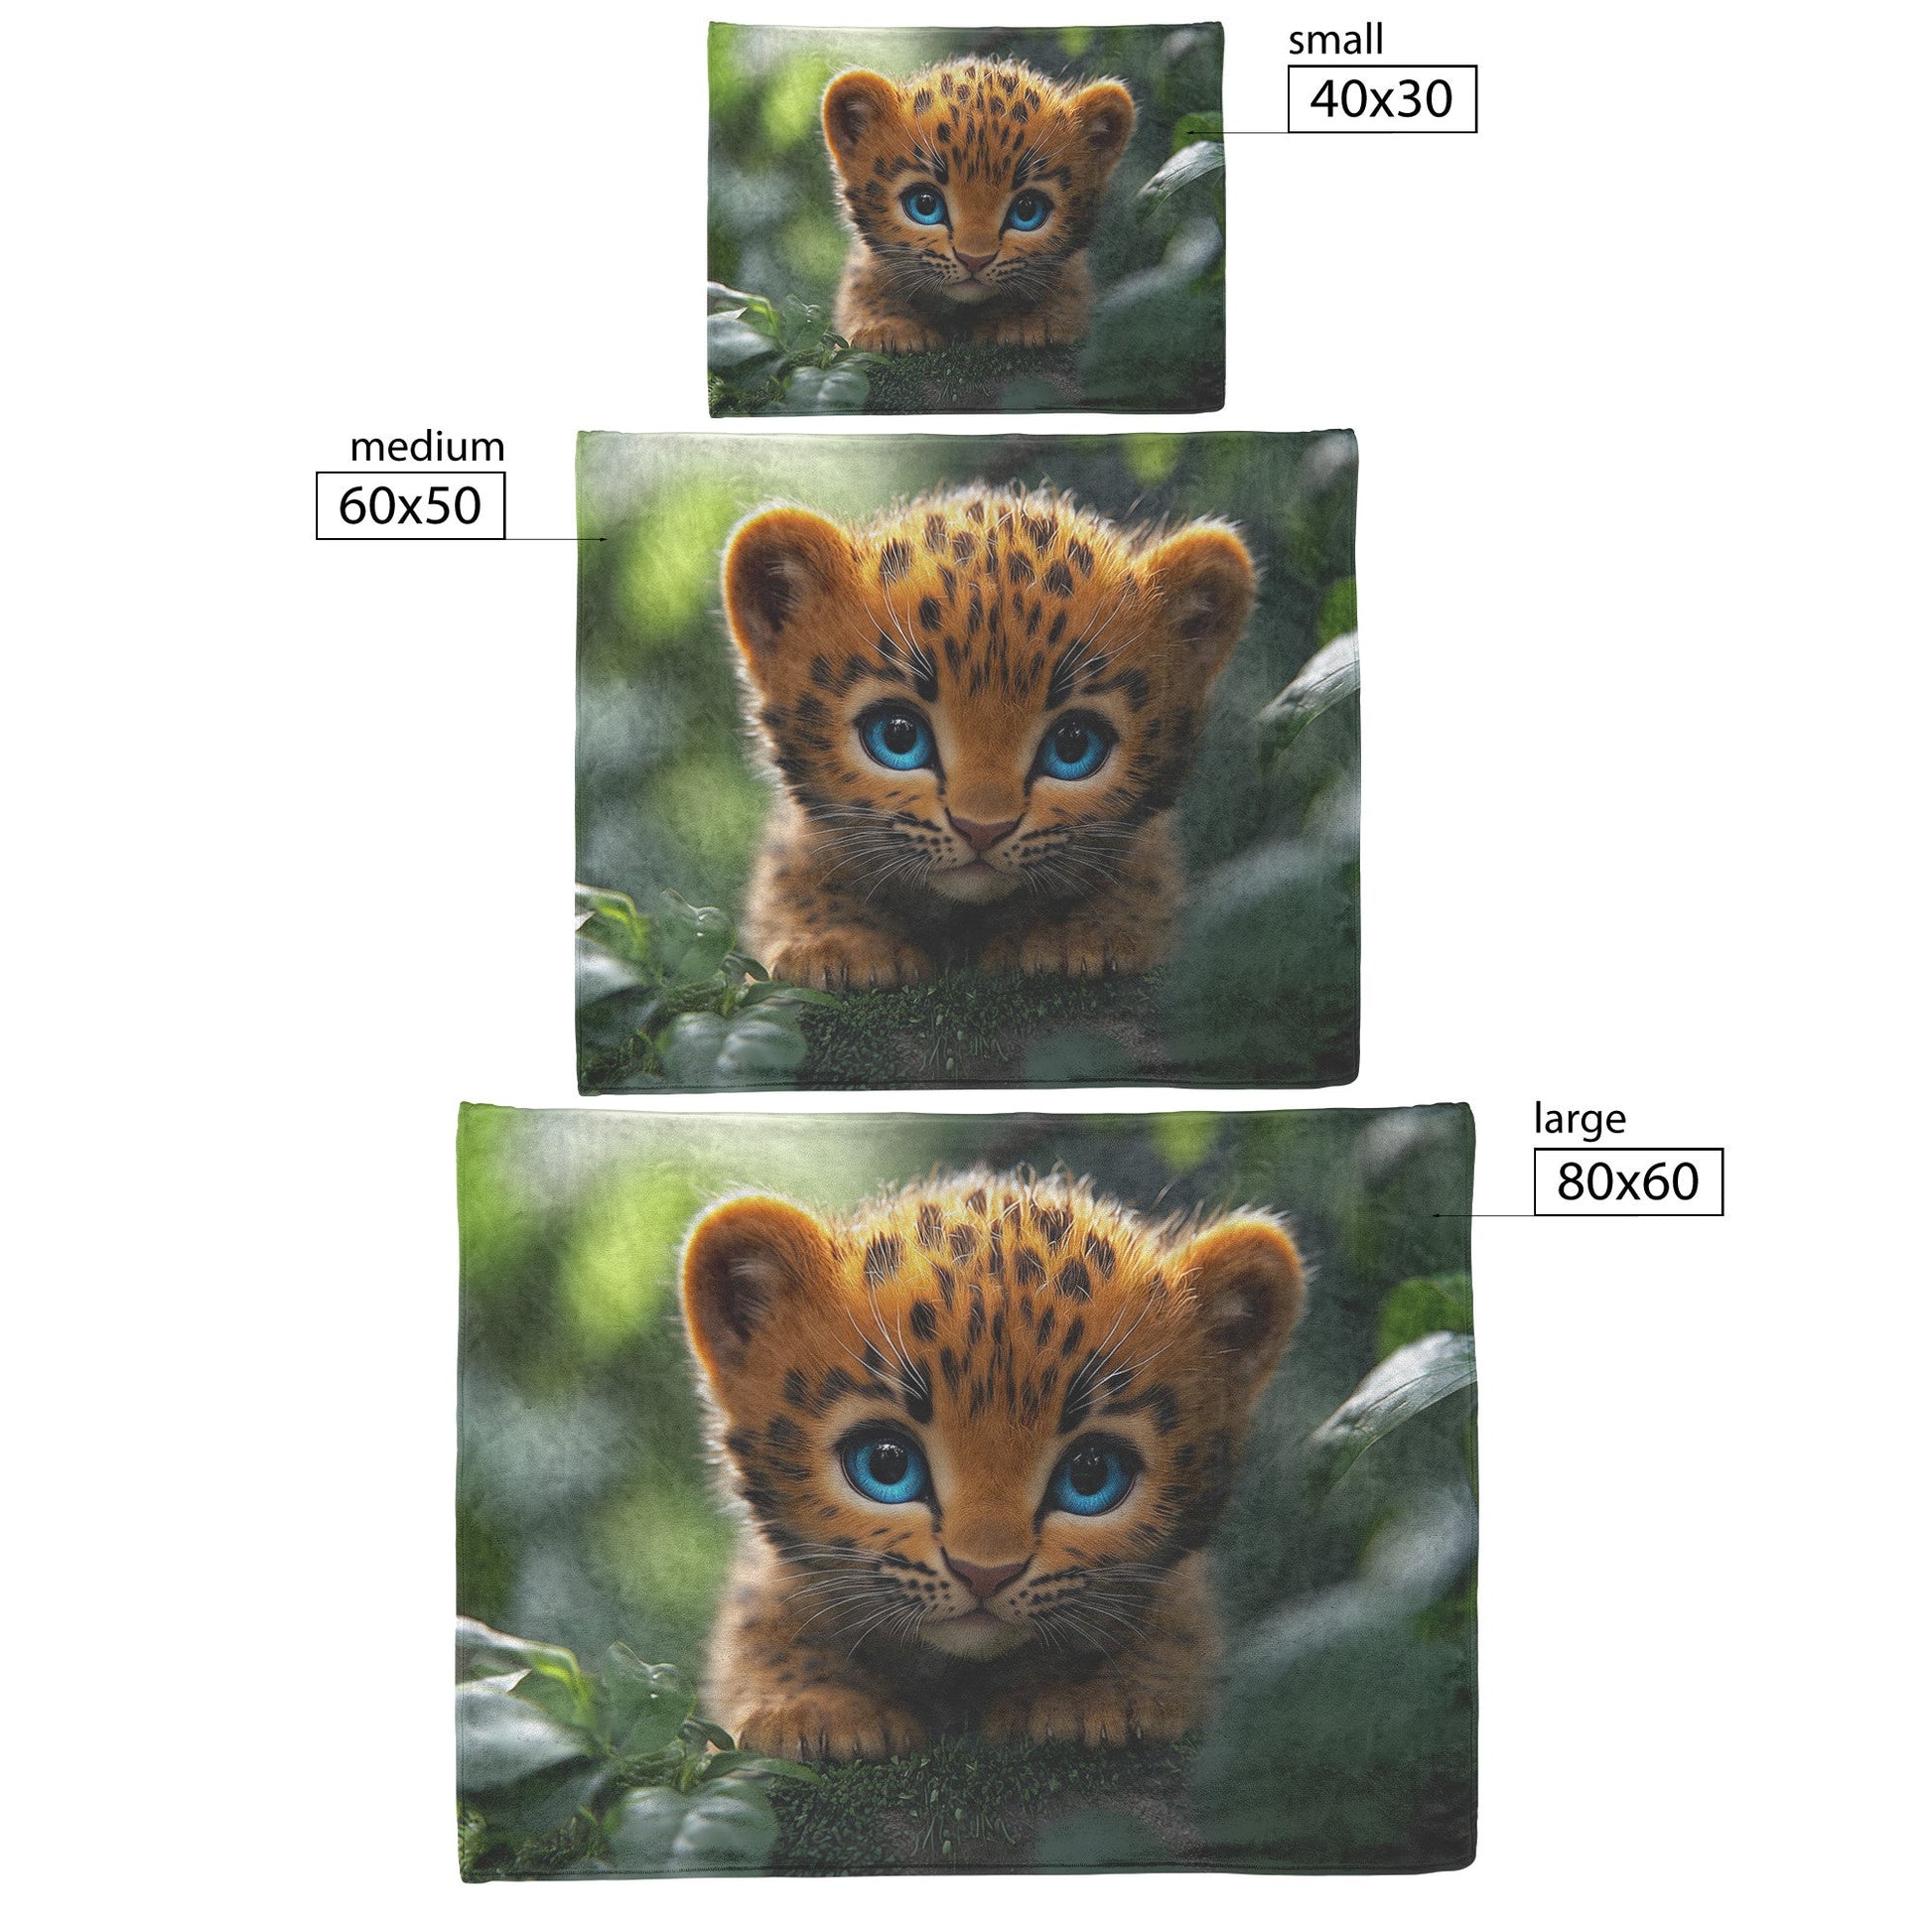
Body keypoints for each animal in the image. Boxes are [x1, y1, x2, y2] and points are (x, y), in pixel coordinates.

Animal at [679, 1168, 1305, 1760]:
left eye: (1091, 1475)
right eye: (886, 1465)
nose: (984, 1572)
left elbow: (1170, 1635)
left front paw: (1102, 1697)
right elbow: (765, 1638)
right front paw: (813, 1710)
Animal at [719, 484, 1257, 988]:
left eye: (1073, 746)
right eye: (898, 737)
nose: (982, 829)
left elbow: (1135, 885)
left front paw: (1078, 934)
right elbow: (798, 886)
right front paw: (837, 944)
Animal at [820, 58, 1136, 353]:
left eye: (1027, 211)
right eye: (925, 205)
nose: (974, 259)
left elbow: (1068, 292)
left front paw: (1030, 322)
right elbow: (864, 293)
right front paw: (888, 328)